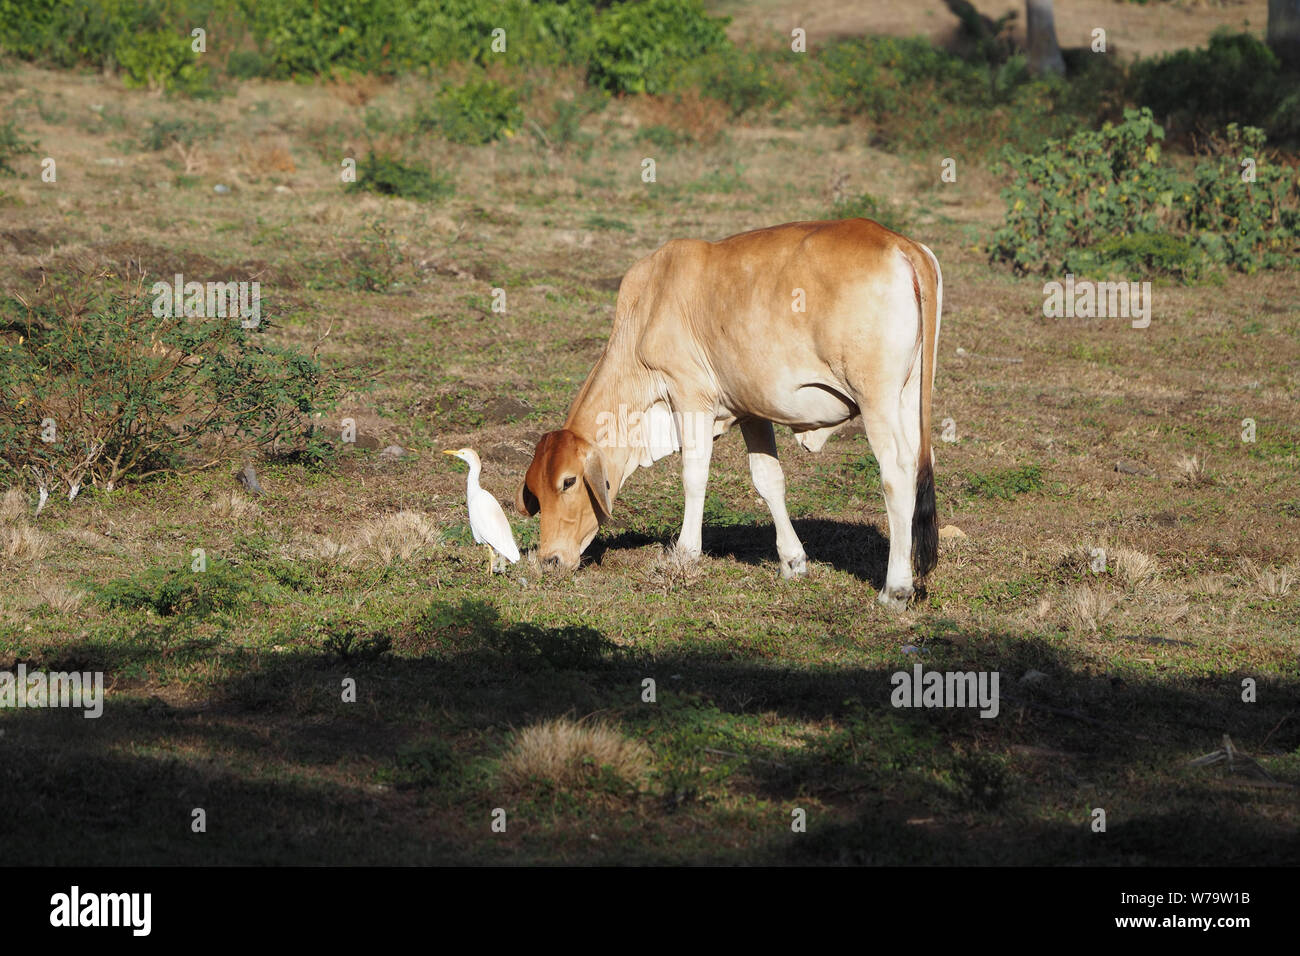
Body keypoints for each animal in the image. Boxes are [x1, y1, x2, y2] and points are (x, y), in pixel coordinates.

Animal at [516, 219, 942, 610]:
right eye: (535, 491)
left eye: (568, 482)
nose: (550, 560)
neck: (647, 310)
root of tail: (901, 245)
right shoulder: (752, 409)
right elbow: (769, 480)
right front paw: (792, 561)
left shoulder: (690, 396)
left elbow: (694, 476)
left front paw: (685, 554)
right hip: (909, 396)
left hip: (876, 397)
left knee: (896, 472)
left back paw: (895, 589)